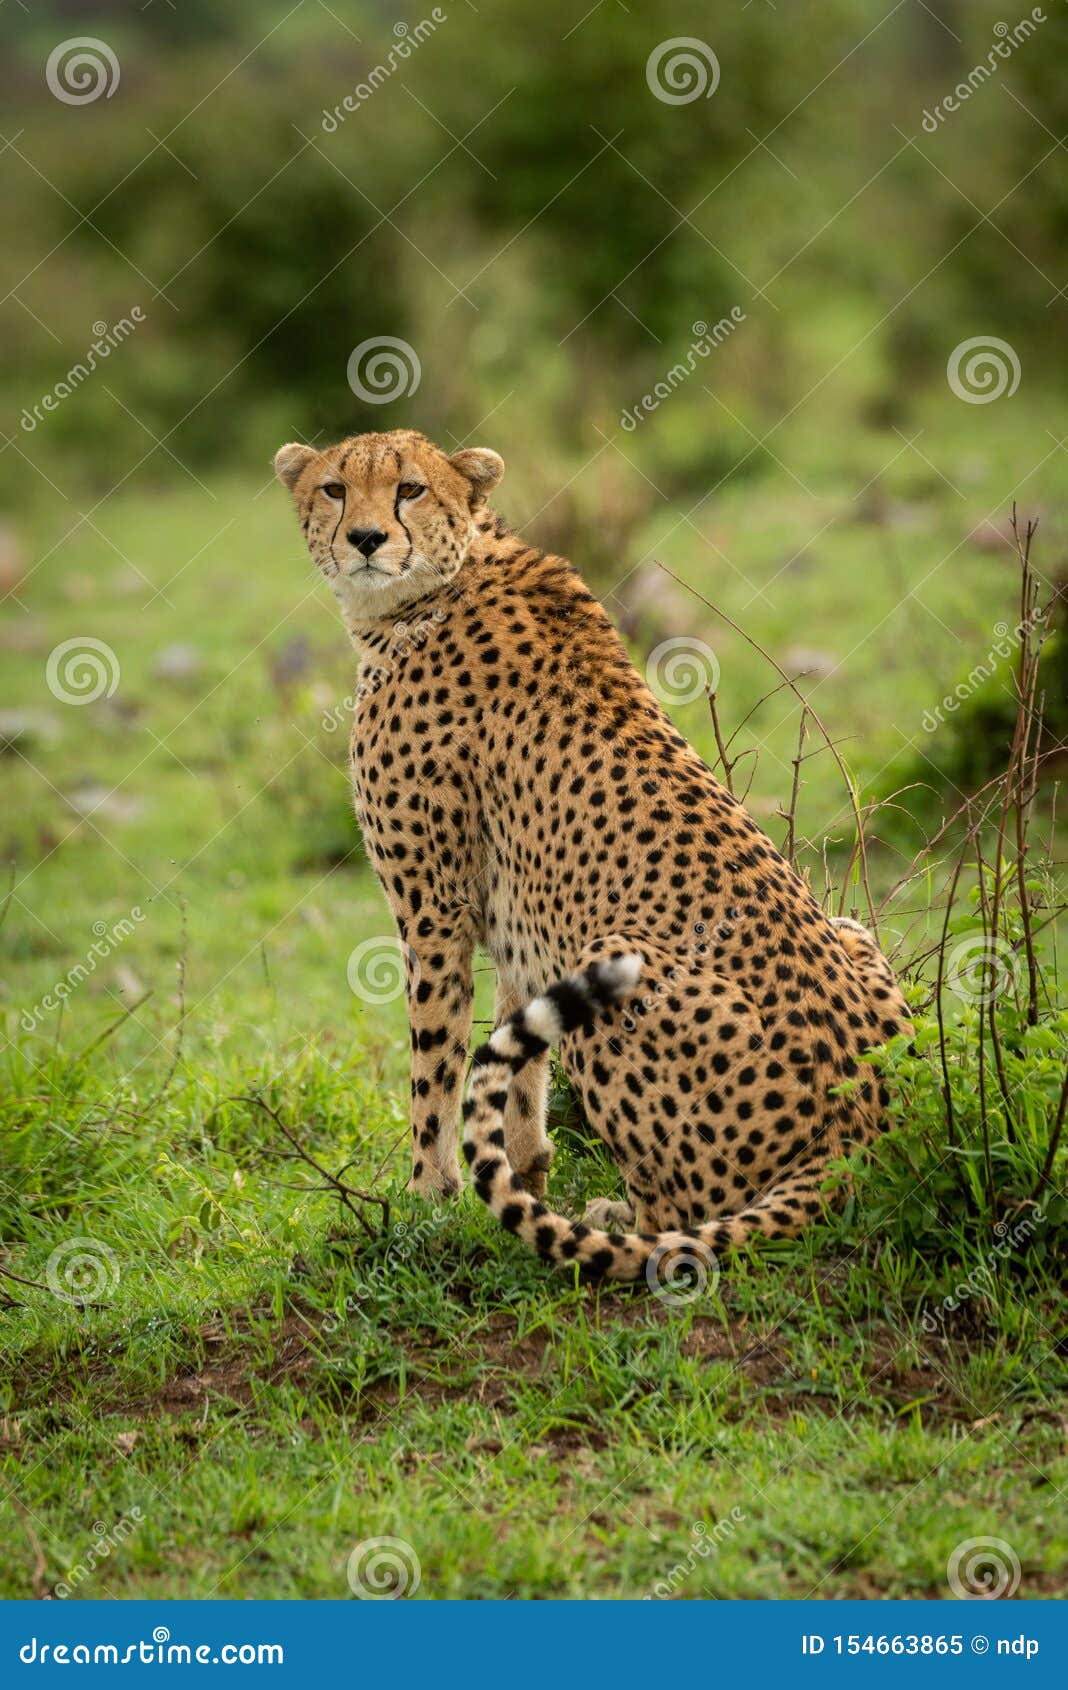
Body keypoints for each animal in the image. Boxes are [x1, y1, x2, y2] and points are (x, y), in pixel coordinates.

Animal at [275, 427, 911, 1282]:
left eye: (409, 489)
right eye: (336, 489)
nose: (368, 539)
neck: (439, 582)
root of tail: (856, 1132)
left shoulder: (433, 909)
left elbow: (433, 1063)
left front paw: (424, 1200)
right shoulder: (516, 915)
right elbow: (514, 1072)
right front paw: (522, 1173)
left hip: (612, 960)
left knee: (679, 1221)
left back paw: (616, 1220)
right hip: (851, 931)